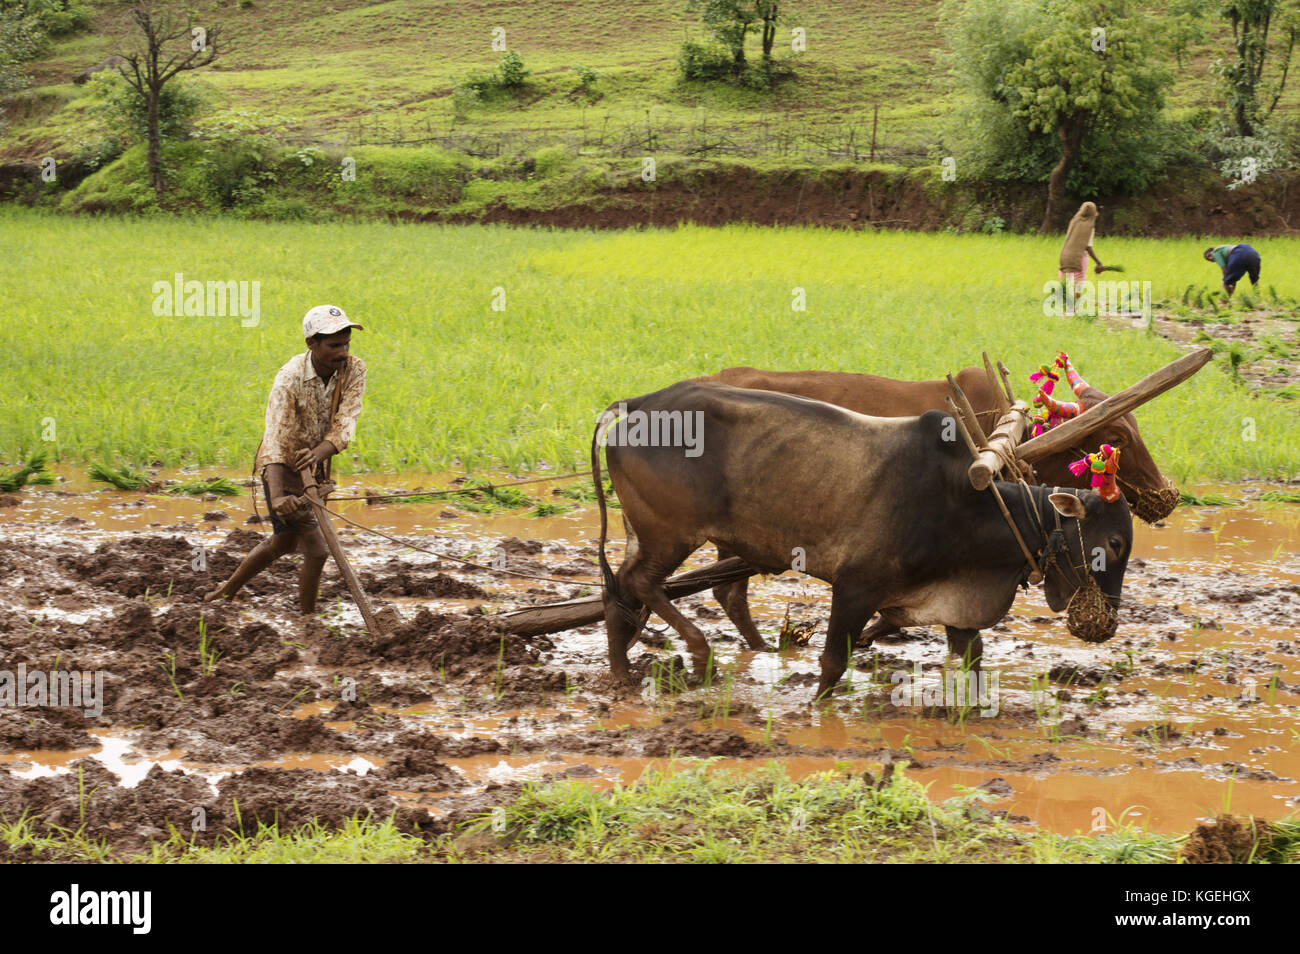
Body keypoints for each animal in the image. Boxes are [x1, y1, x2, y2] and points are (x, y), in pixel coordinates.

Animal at [591, 381, 1133, 701]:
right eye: (1115, 544)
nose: (1106, 625)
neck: (967, 501)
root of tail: (633, 406)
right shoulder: (854, 589)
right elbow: (833, 663)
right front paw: (814, 709)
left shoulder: (955, 608)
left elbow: (974, 659)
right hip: (668, 536)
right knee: (641, 586)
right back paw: (699, 653)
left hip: (650, 535)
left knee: (623, 593)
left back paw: (623, 673)